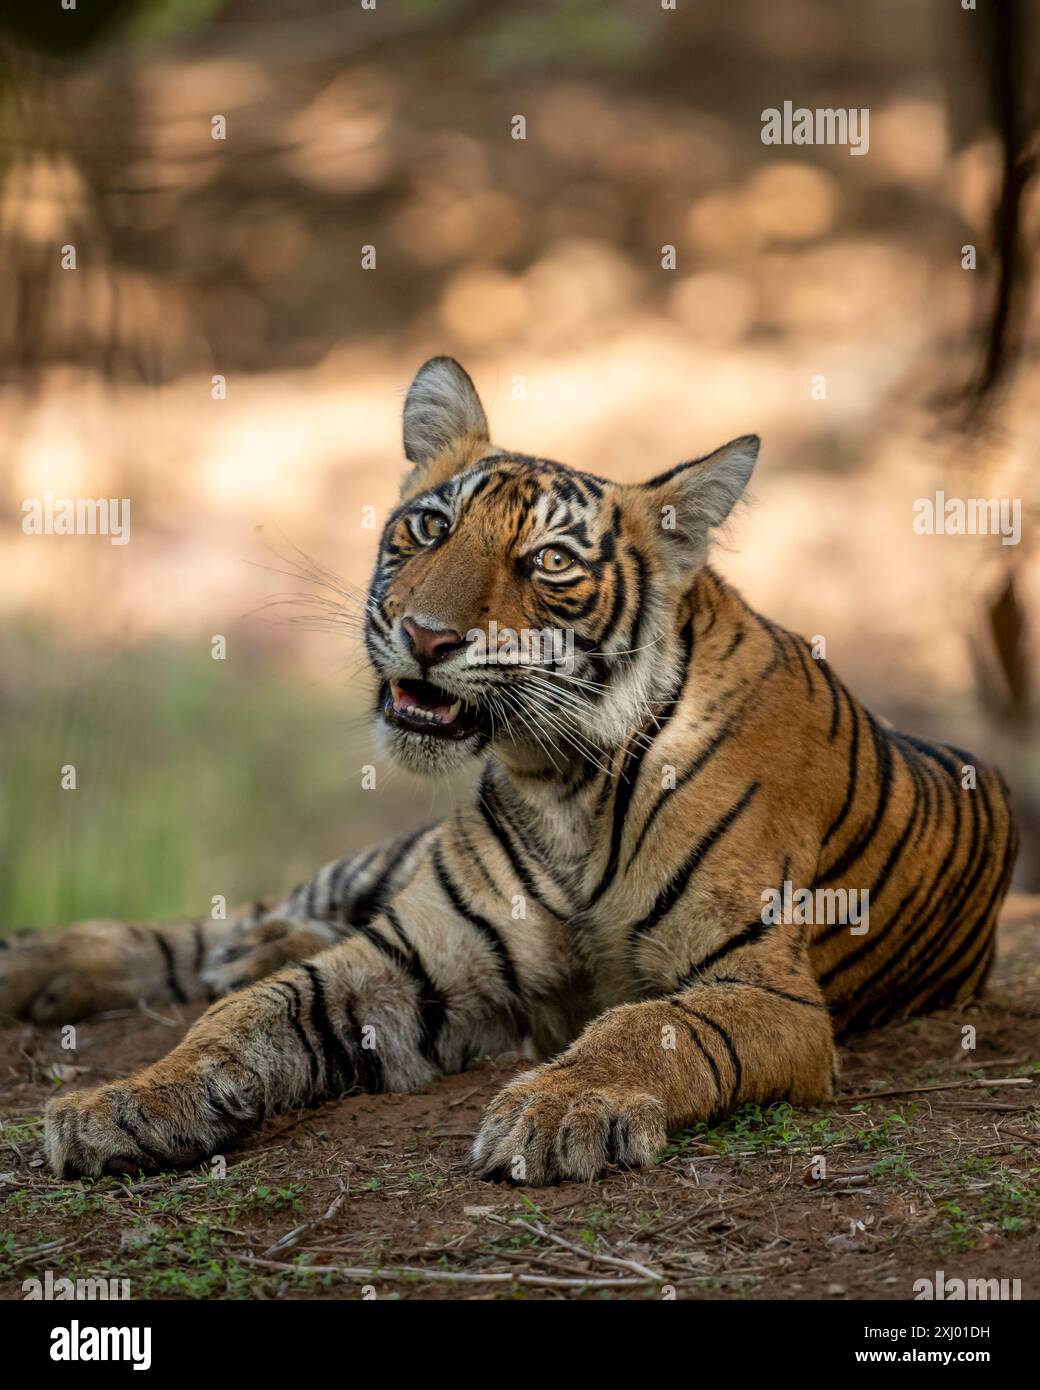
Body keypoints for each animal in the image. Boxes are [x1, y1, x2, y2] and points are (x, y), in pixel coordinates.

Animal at [0, 356, 1018, 1183]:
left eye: (551, 561)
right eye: (429, 525)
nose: (425, 636)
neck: (561, 778)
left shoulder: (763, 987)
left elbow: (647, 1025)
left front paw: (560, 1107)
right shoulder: (416, 956)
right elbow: (248, 1016)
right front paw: (125, 1104)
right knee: (224, 928)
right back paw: (48, 964)